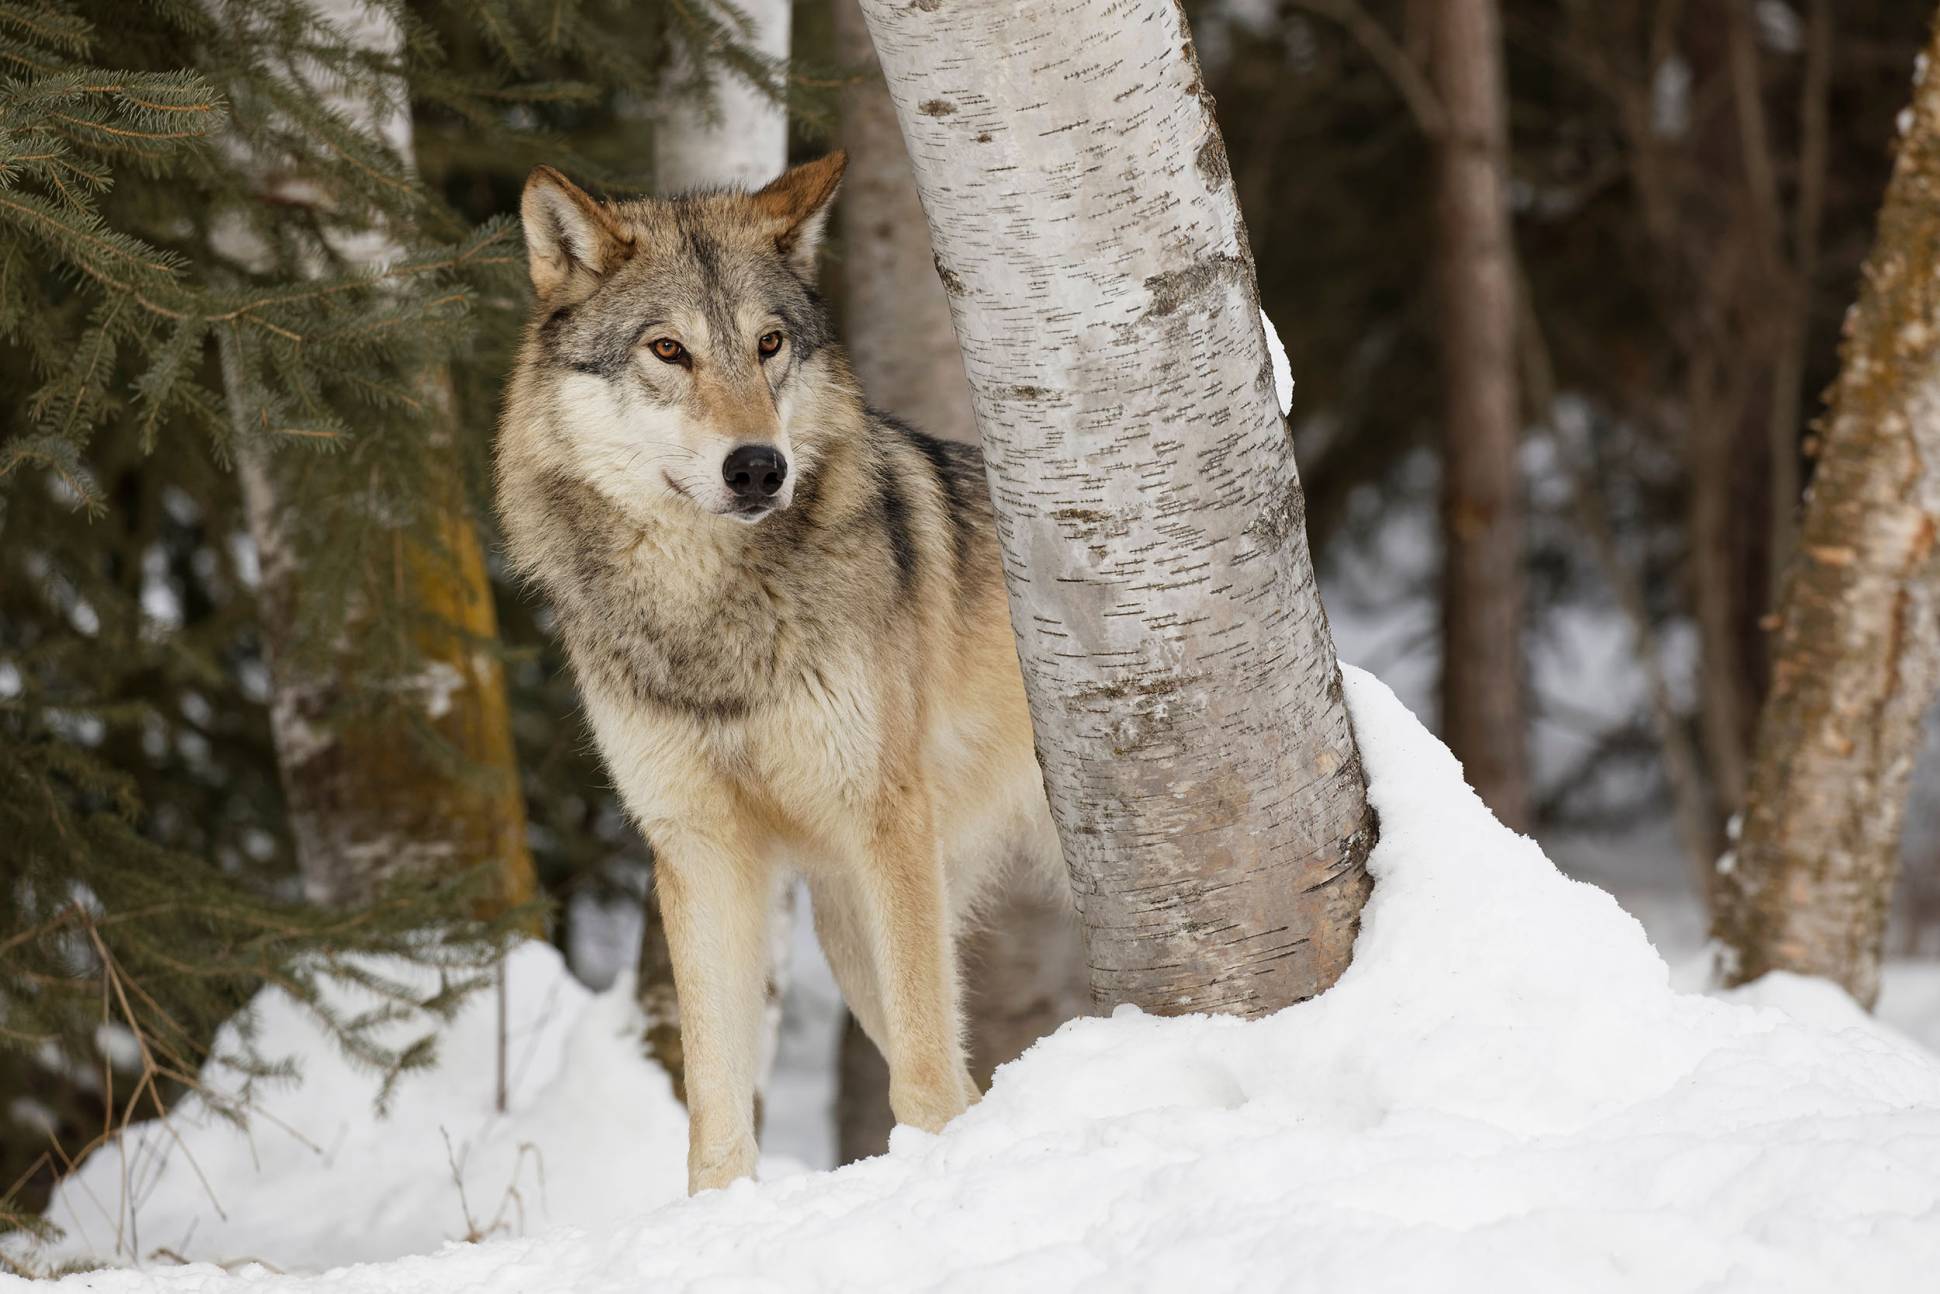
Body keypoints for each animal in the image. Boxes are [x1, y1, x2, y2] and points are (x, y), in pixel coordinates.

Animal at [495, 152, 1064, 1193]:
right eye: (668, 350)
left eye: (769, 344)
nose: (759, 467)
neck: (707, 613)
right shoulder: (699, 848)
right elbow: (715, 1108)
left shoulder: (885, 821)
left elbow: (923, 1077)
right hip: (844, 931)